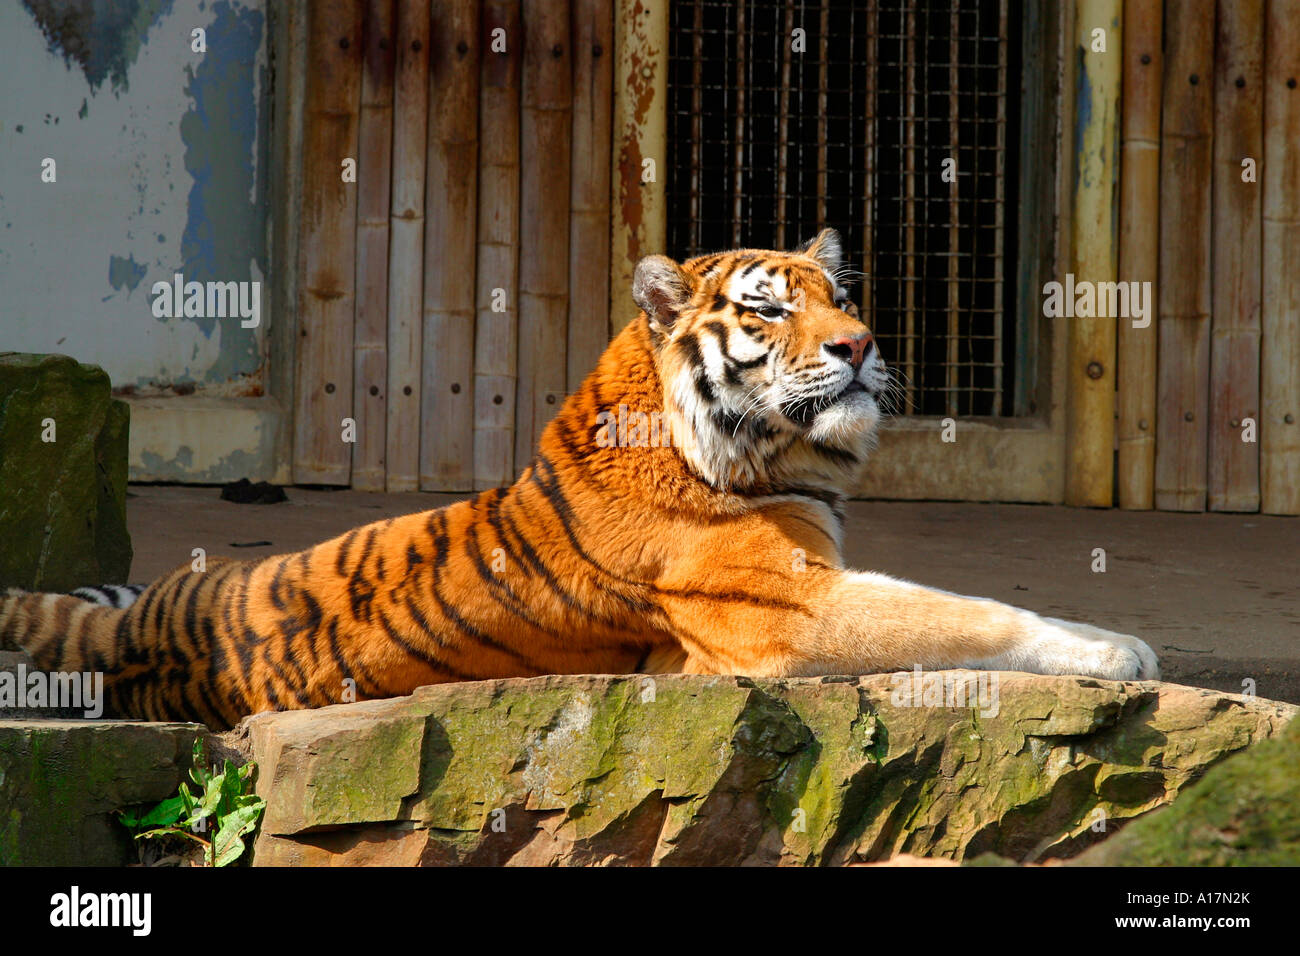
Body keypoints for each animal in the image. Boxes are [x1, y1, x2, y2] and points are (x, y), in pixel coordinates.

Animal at [0, 229, 1159, 730]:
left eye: (841, 296)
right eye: (772, 308)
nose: (863, 344)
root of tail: (142, 633)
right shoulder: (786, 609)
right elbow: (973, 613)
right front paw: (1118, 648)